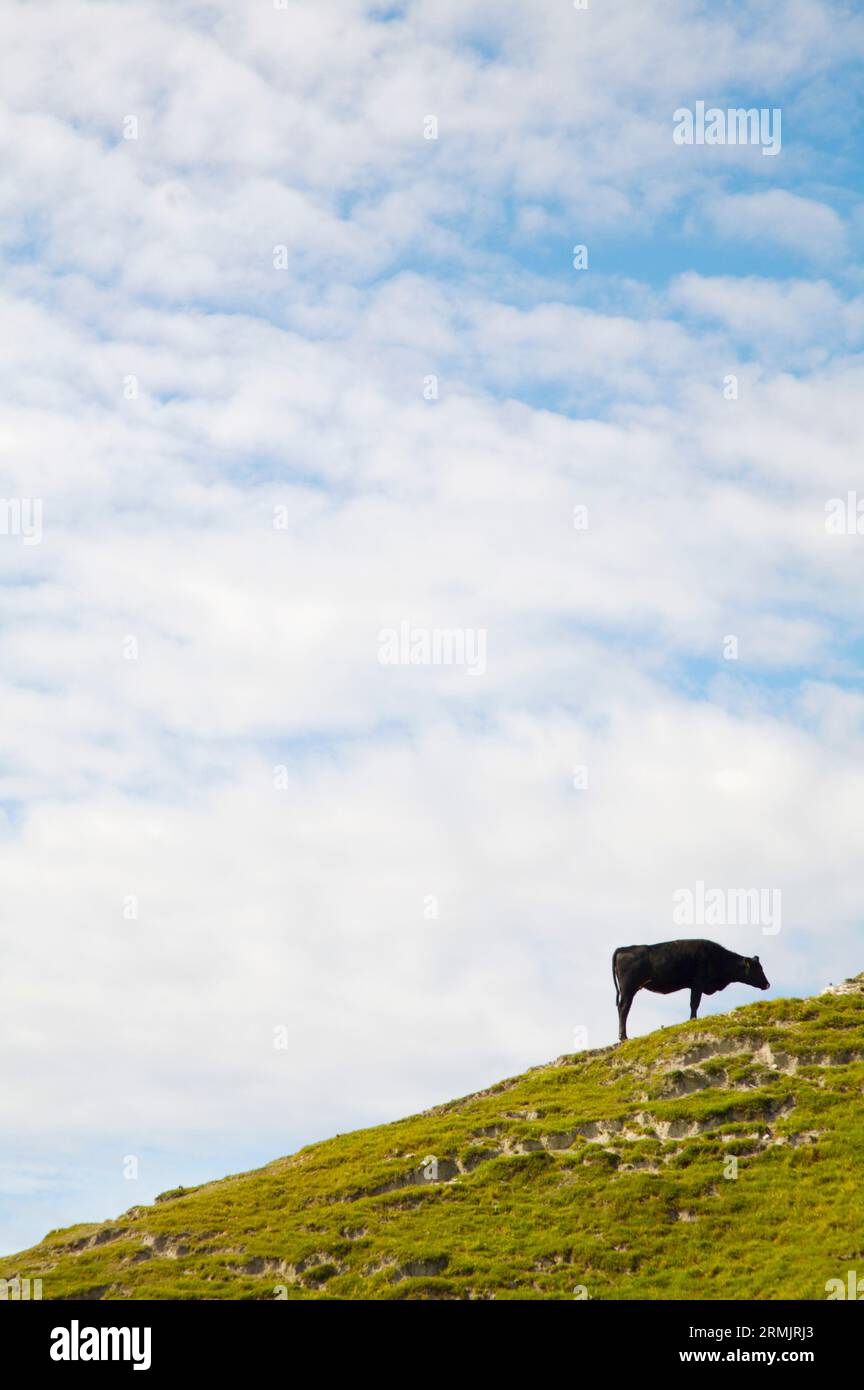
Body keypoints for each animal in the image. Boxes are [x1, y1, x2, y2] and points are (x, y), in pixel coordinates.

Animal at [613, 938, 770, 1042]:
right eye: (757, 969)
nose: (767, 984)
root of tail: (623, 949)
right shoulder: (697, 984)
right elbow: (694, 1003)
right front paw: (693, 1019)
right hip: (628, 989)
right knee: (624, 1008)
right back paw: (623, 1037)